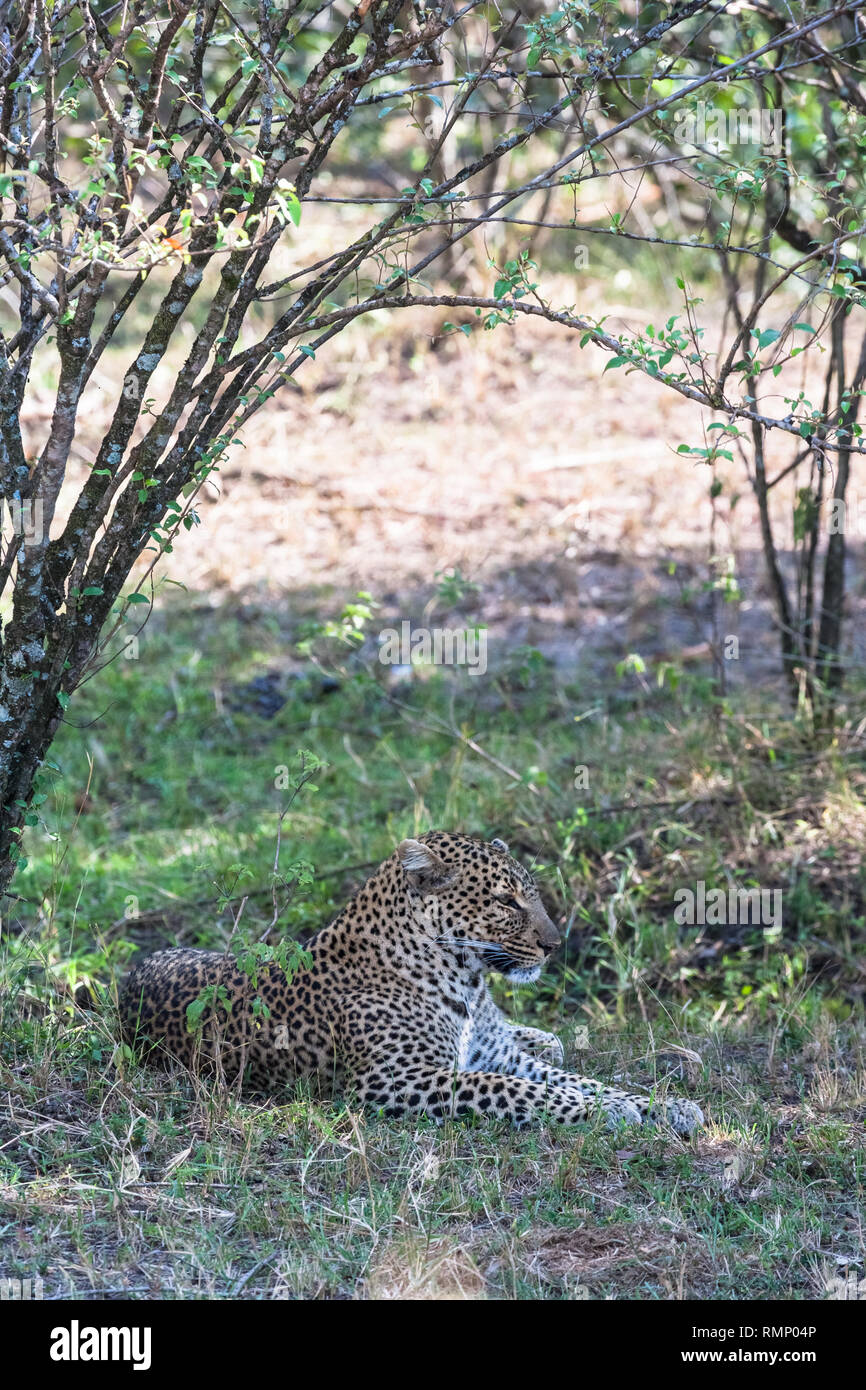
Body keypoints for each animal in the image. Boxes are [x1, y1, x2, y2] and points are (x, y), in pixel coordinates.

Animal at [119, 831, 704, 1134]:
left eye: (530, 895)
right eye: (505, 901)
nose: (554, 944)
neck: (470, 983)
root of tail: (133, 974)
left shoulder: (496, 1056)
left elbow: (572, 1080)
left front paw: (666, 1106)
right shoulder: (394, 1079)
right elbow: (521, 1091)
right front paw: (612, 1112)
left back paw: (545, 1036)